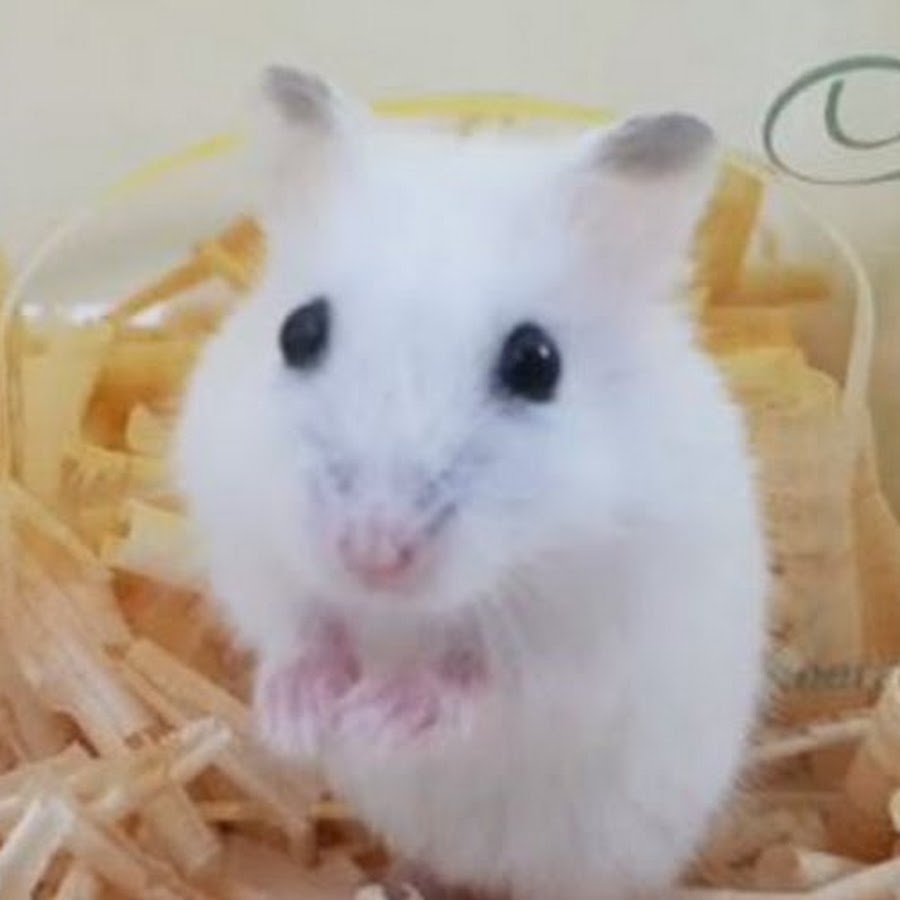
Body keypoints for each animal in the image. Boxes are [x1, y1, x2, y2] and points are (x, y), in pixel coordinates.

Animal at [175, 66, 769, 900]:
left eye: (537, 362)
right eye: (298, 332)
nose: (373, 555)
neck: (400, 614)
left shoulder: (581, 640)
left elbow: (479, 683)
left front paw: (371, 717)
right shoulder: (252, 549)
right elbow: (298, 632)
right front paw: (300, 721)